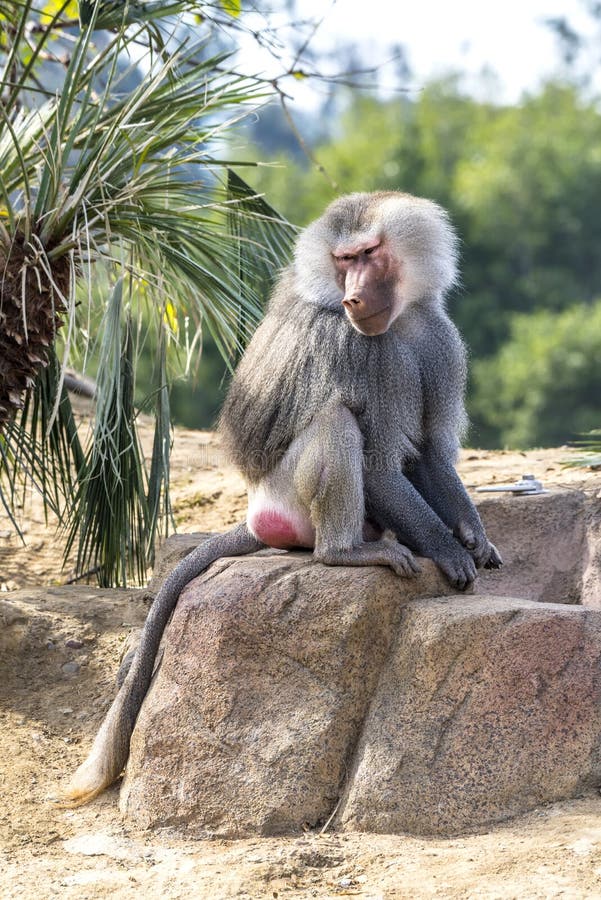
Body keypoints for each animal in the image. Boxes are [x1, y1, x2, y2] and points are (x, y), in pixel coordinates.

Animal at [60, 190, 501, 806]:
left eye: (368, 254)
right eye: (343, 260)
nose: (352, 297)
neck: (402, 318)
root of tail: (252, 514)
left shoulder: (437, 338)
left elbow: (432, 453)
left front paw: (474, 539)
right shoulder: (367, 352)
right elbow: (382, 465)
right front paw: (451, 553)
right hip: (287, 494)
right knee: (338, 421)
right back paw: (347, 552)